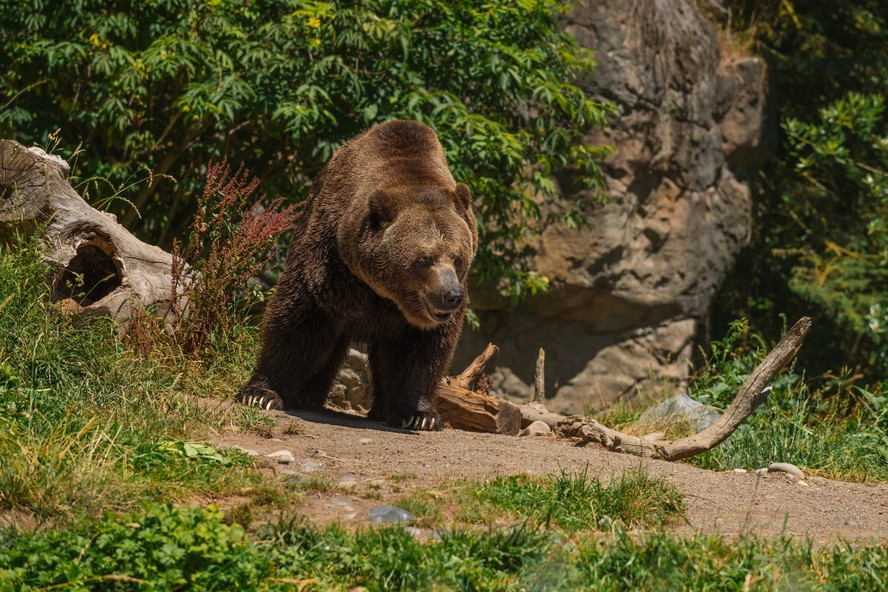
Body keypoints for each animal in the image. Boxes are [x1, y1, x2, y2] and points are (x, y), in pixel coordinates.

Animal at [236, 120, 477, 431]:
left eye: (458, 257)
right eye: (425, 258)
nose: (451, 296)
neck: (385, 292)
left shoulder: (417, 318)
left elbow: (422, 350)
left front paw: (419, 414)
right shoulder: (330, 263)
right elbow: (298, 322)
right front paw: (260, 394)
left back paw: (382, 409)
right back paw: (306, 395)